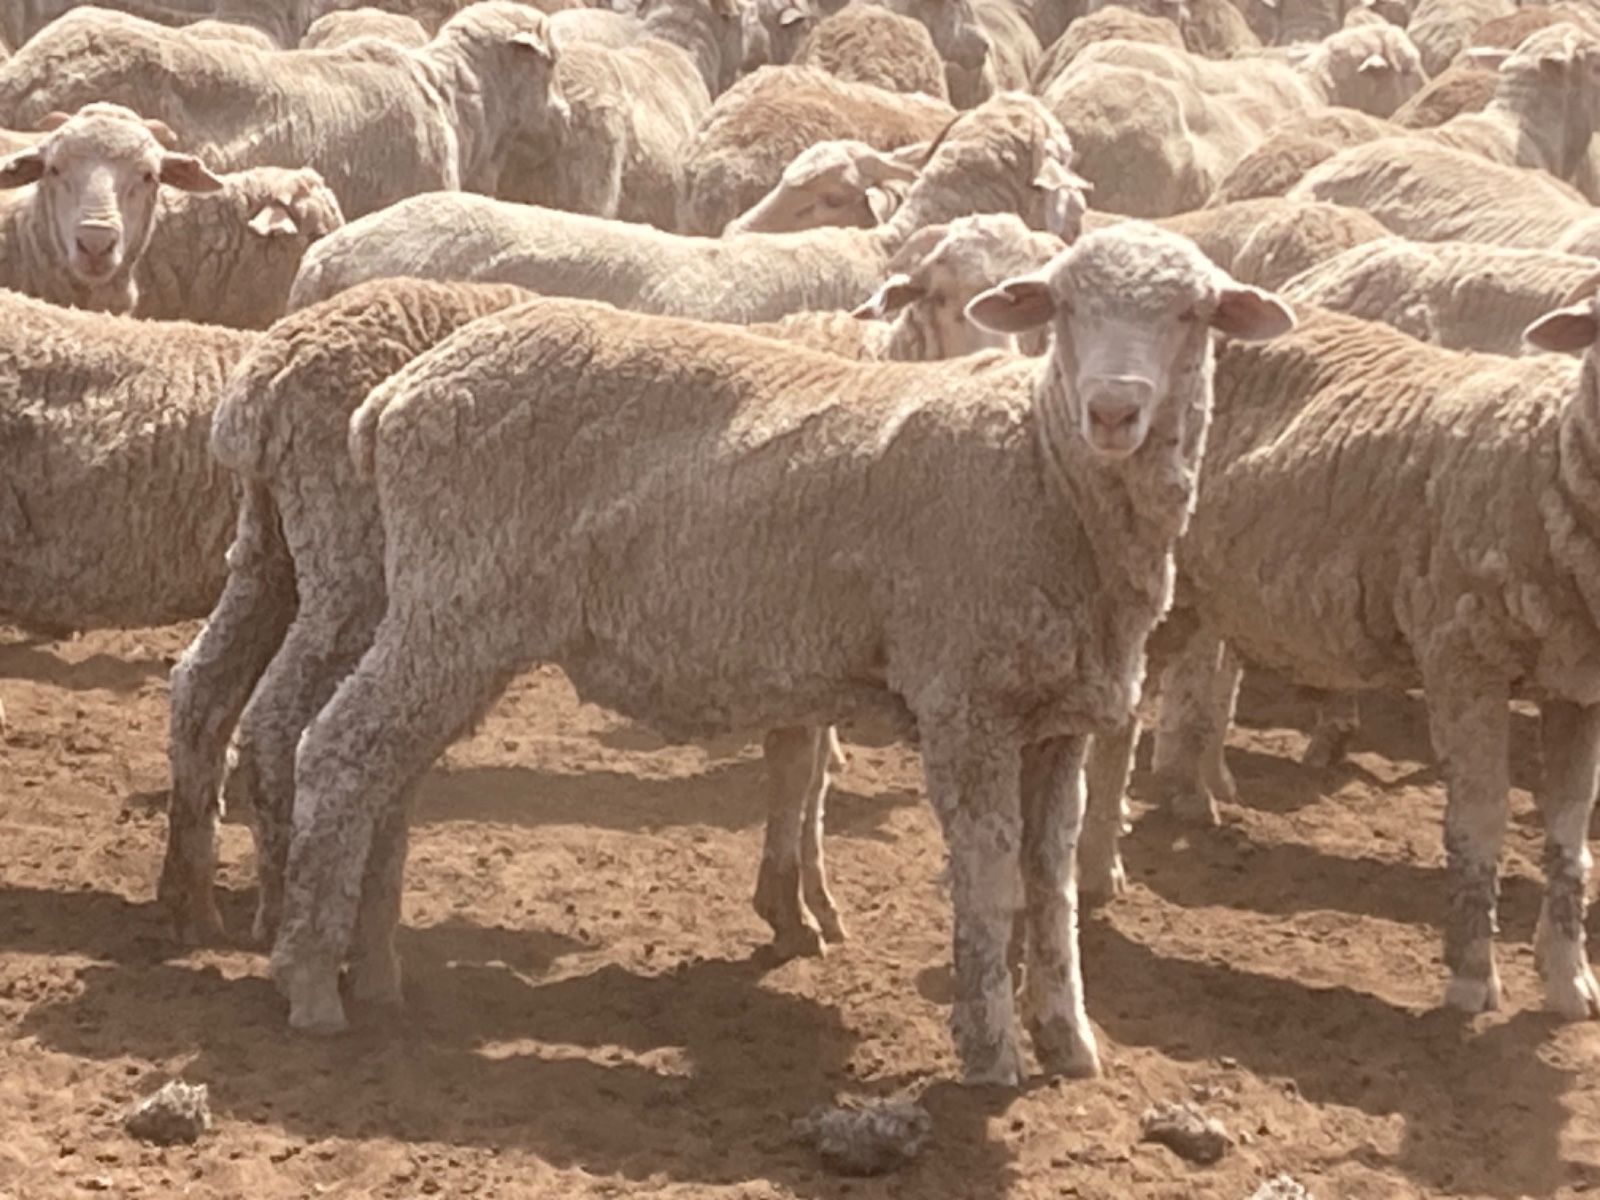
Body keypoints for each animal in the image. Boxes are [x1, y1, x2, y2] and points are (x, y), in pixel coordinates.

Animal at [265, 224, 1292, 1084]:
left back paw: (375, 966)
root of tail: (397, 394)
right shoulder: (965, 702)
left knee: (389, 772)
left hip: (449, 620)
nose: (1113, 410)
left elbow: (1052, 883)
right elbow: (989, 877)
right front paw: (991, 1050)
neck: (1044, 471)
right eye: (1066, 307)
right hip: (453, 603)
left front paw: (1069, 1039)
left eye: (1194, 313)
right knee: (340, 752)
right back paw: (310, 981)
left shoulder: (1058, 717)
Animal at [1086, 299, 1600, 1028]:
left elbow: (1569, 831)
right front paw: (1473, 976)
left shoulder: (1576, 680)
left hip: (1192, 598)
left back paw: (1133, 839)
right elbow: (1480, 822)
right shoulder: (1462, 658)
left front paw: (1567, 977)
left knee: (1142, 714)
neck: (1547, 448)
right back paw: (1092, 867)